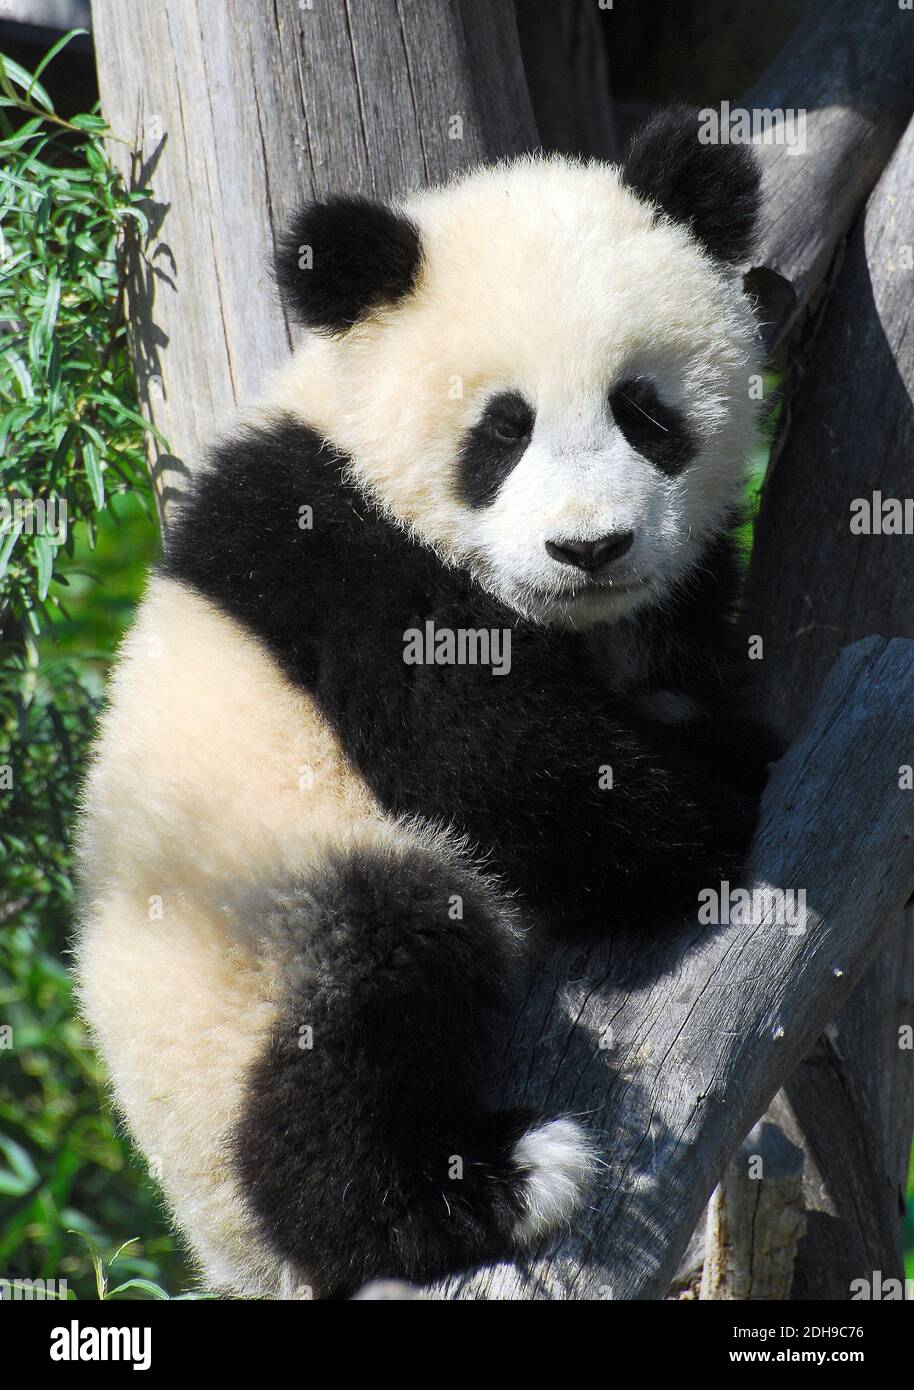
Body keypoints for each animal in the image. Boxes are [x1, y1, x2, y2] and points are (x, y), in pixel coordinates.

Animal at [75, 108, 779, 1299]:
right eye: (502, 429)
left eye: (643, 412)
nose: (588, 548)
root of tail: (227, 1249)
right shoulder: (341, 556)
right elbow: (496, 763)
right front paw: (717, 788)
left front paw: (708, 720)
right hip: (244, 945)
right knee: (379, 957)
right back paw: (478, 1183)